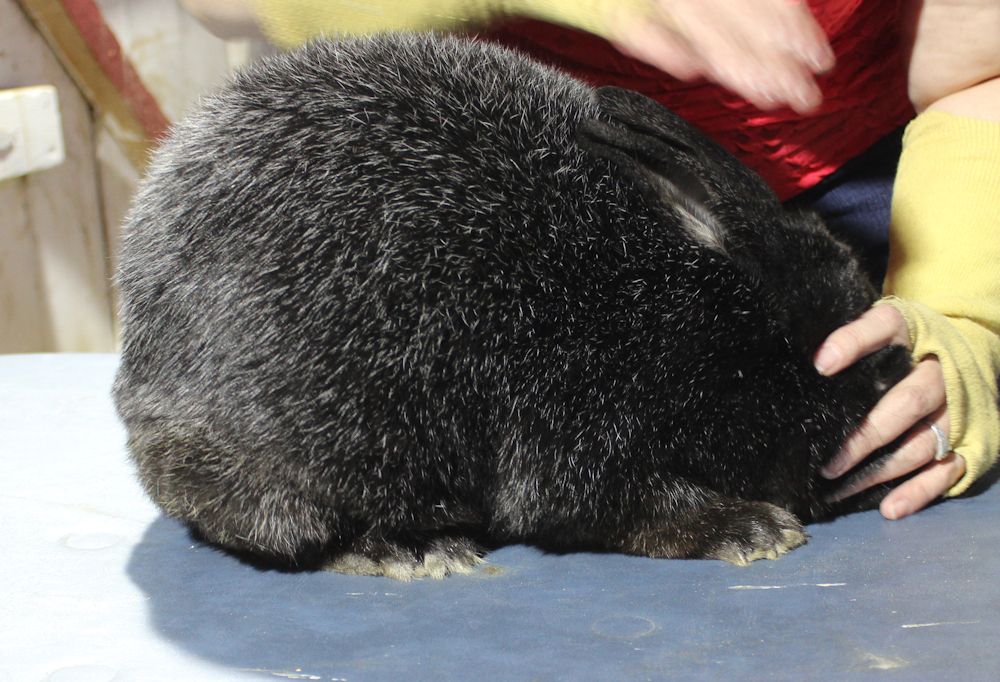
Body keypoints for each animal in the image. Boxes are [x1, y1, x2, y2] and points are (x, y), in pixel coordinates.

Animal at [113, 32, 912, 580]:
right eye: (868, 367)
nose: (908, 373)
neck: (711, 318)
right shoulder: (579, 433)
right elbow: (637, 507)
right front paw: (750, 531)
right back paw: (411, 550)